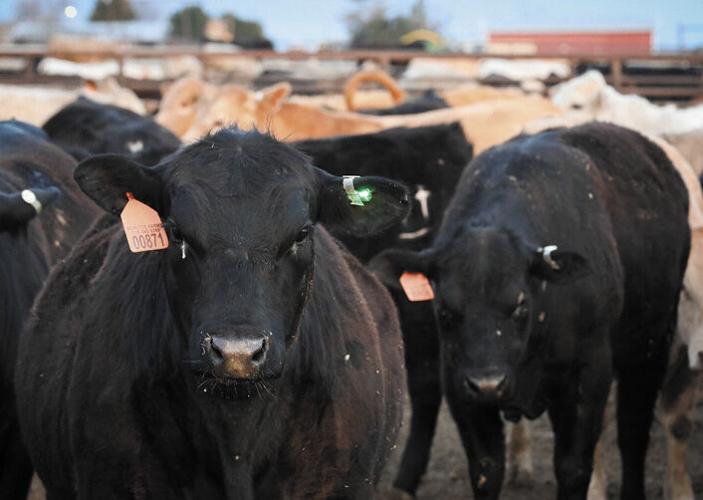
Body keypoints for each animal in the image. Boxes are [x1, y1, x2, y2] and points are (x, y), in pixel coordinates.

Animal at [370, 122, 690, 499]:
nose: (489, 384)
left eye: (520, 304)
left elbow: (573, 468)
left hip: (652, 345)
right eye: (445, 308)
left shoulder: (588, 374)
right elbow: (486, 468)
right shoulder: (459, 385)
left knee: (633, 433)